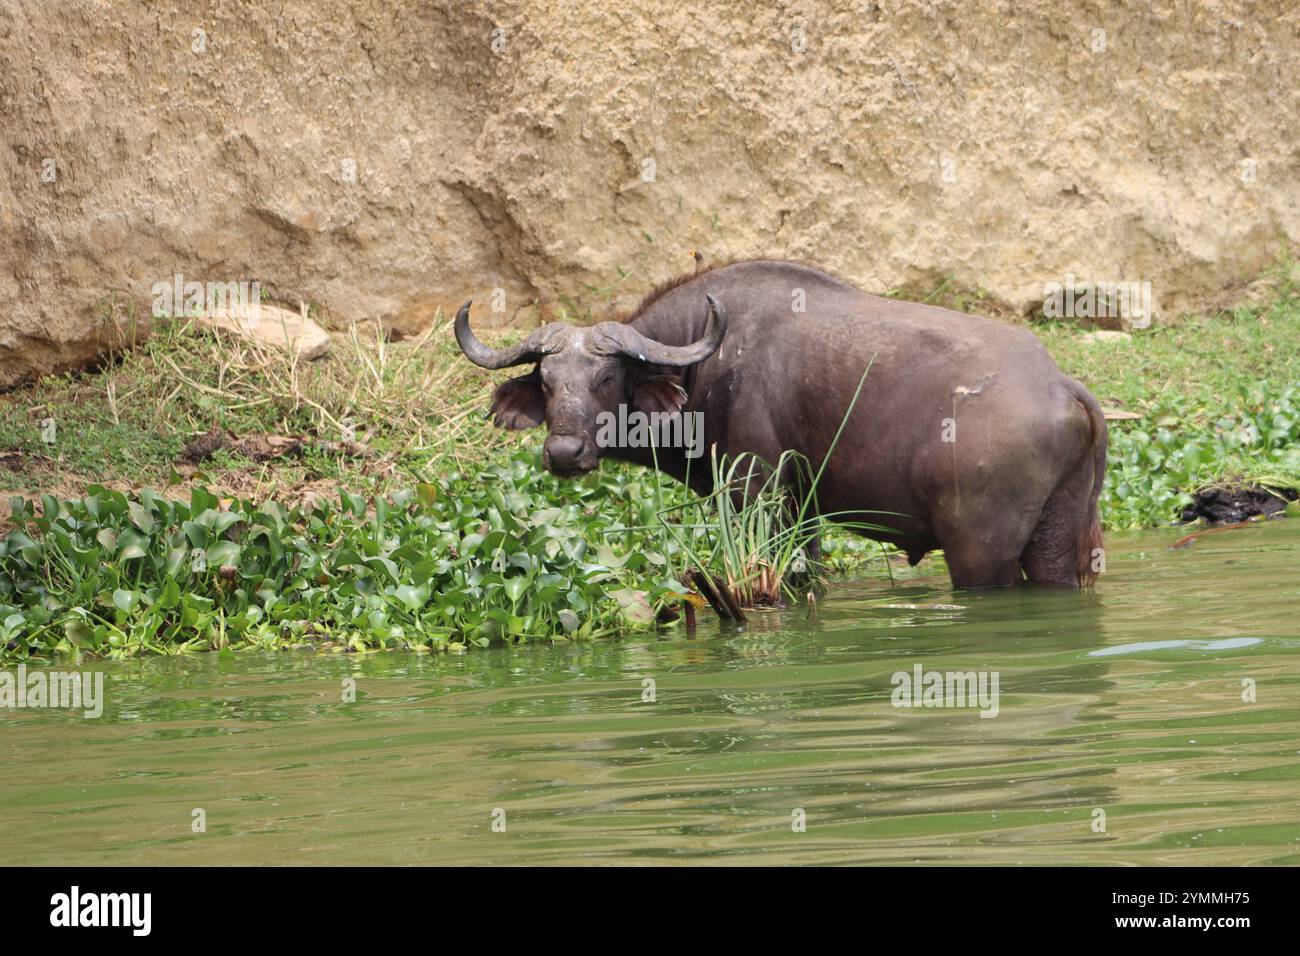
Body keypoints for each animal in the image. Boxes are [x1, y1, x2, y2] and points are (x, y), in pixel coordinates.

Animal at [454, 259, 1106, 589]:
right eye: (545, 380)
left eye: (608, 379)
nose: (564, 452)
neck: (708, 361)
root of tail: (1060, 384)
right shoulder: (804, 512)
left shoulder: (757, 496)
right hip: (1057, 541)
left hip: (979, 553)